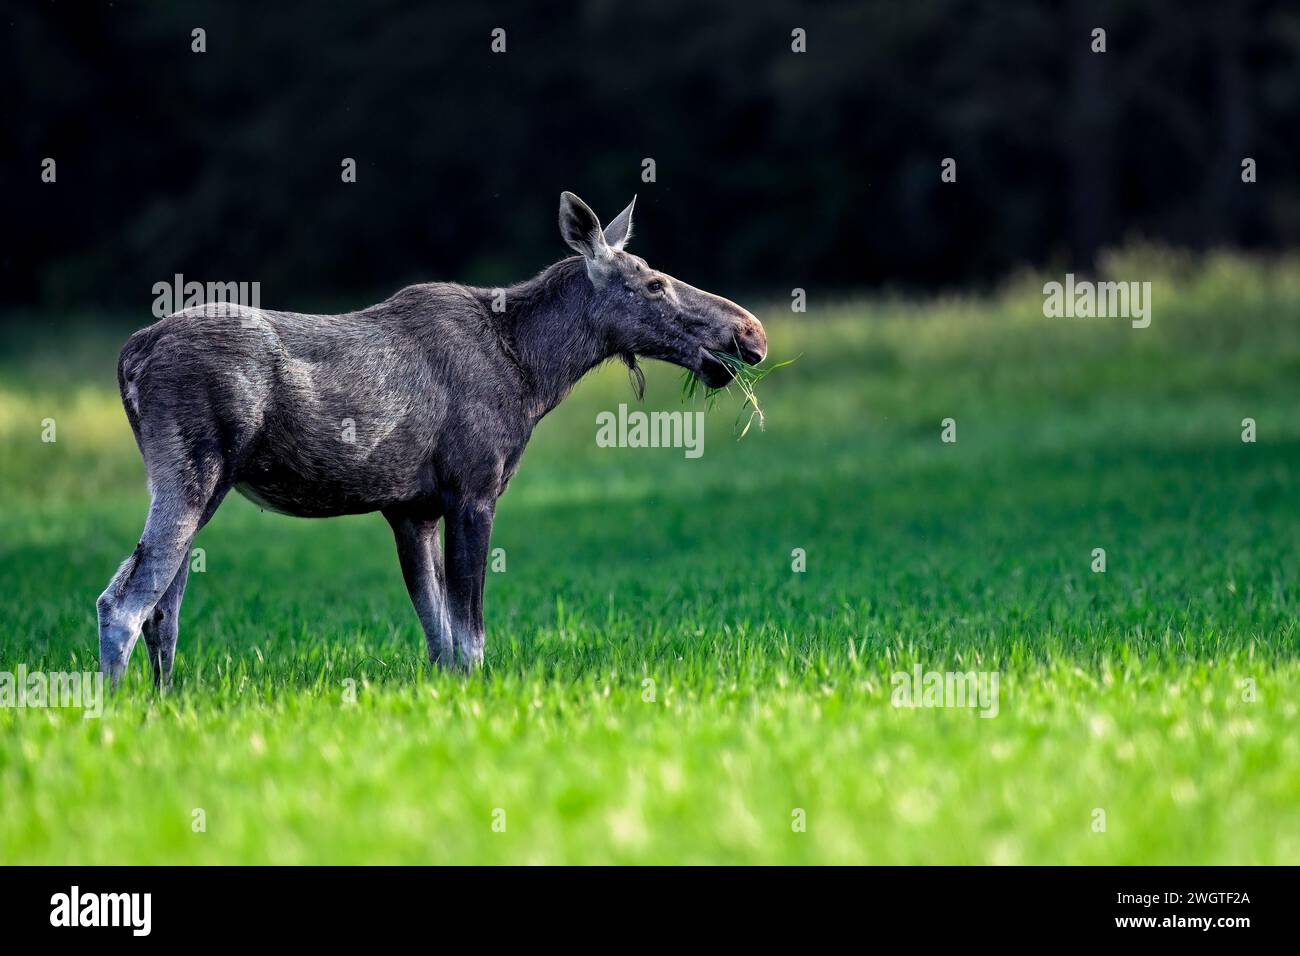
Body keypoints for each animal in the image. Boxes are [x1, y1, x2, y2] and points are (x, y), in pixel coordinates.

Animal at [98, 192, 767, 685]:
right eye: (654, 284)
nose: (750, 332)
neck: (534, 373)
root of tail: (130, 356)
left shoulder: (411, 510)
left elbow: (439, 638)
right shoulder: (472, 490)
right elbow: (470, 637)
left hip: (195, 484)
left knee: (164, 611)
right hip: (194, 473)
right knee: (122, 603)